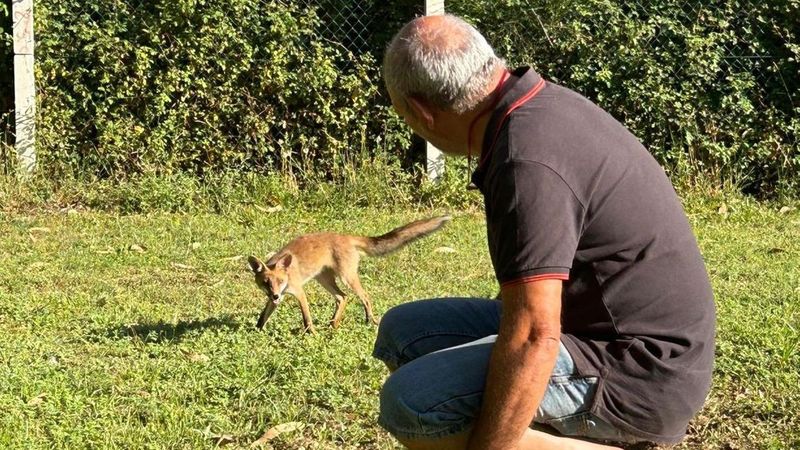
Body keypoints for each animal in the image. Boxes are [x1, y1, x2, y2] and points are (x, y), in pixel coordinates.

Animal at [247, 215, 451, 333]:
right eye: (266, 283)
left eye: (281, 280)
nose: (275, 295)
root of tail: (346, 236)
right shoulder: (275, 300)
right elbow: (262, 318)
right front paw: (256, 333)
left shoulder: (299, 292)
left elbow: (307, 320)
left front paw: (311, 335)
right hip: (325, 280)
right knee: (342, 297)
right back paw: (334, 324)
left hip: (347, 278)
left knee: (364, 296)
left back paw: (370, 321)